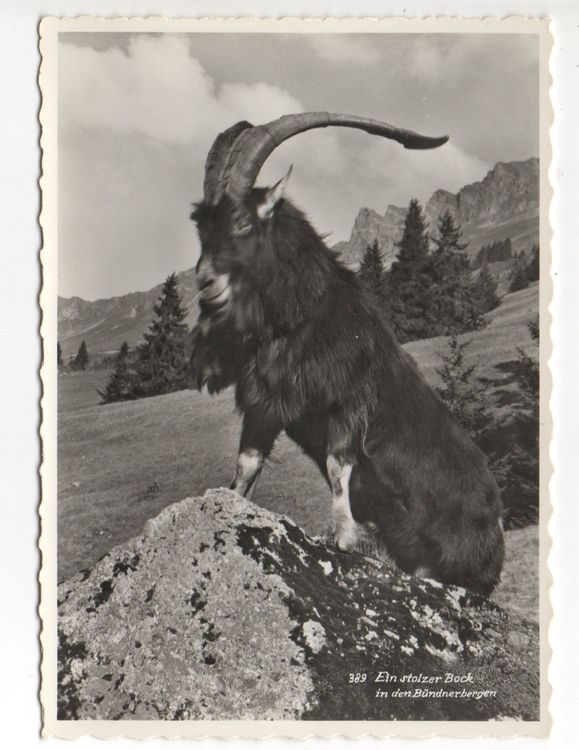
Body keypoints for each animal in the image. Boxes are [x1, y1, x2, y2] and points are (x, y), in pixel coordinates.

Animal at [190, 113, 504, 596]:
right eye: (201, 228)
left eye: (244, 224)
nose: (206, 282)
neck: (305, 316)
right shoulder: (266, 403)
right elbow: (246, 466)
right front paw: (232, 504)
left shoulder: (350, 402)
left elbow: (340, 466)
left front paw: (343, 537)